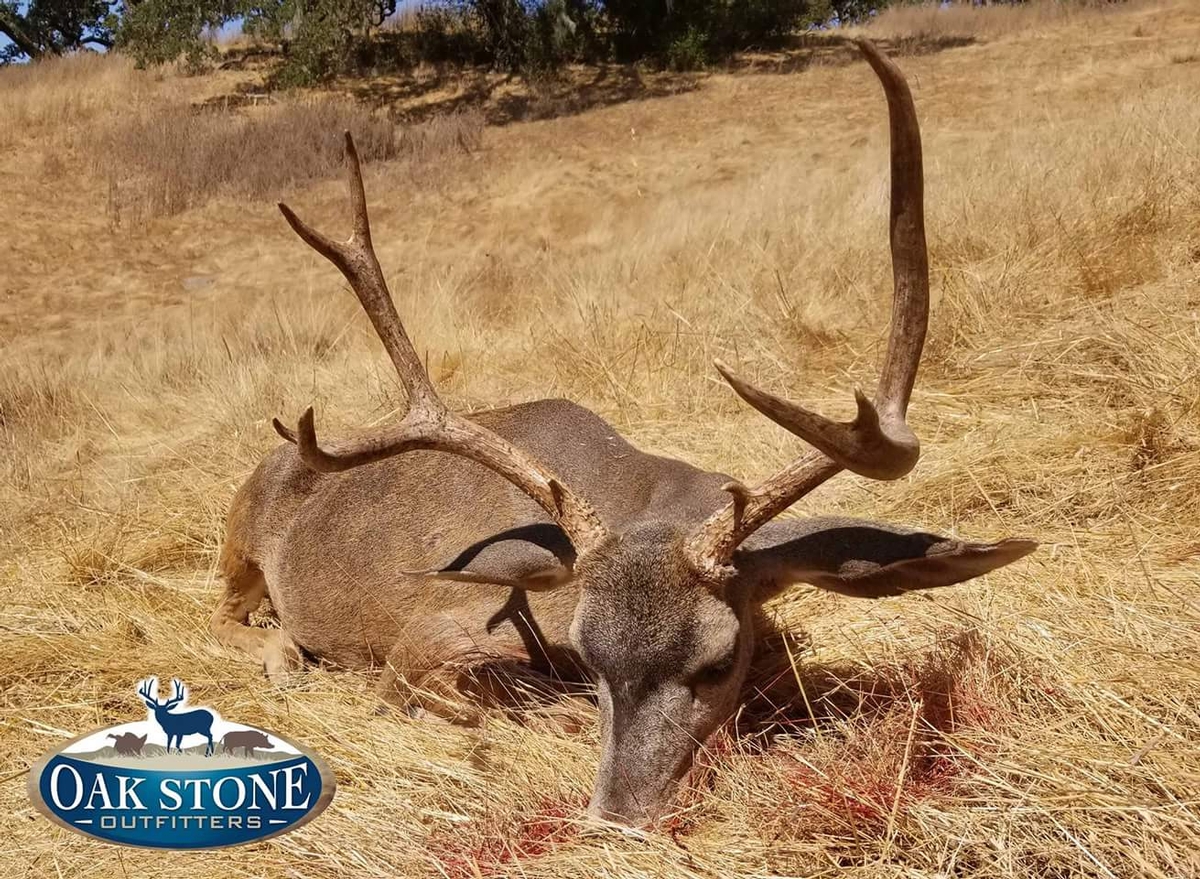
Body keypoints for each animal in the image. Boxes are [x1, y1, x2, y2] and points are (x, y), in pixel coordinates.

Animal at [210, 40, 1036, 828]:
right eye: (587, 649)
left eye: (718, 661)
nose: (618, 817)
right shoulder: (428, 631)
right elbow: (464, 696)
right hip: (238, 543)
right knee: (230, 614)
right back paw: (283, 658)